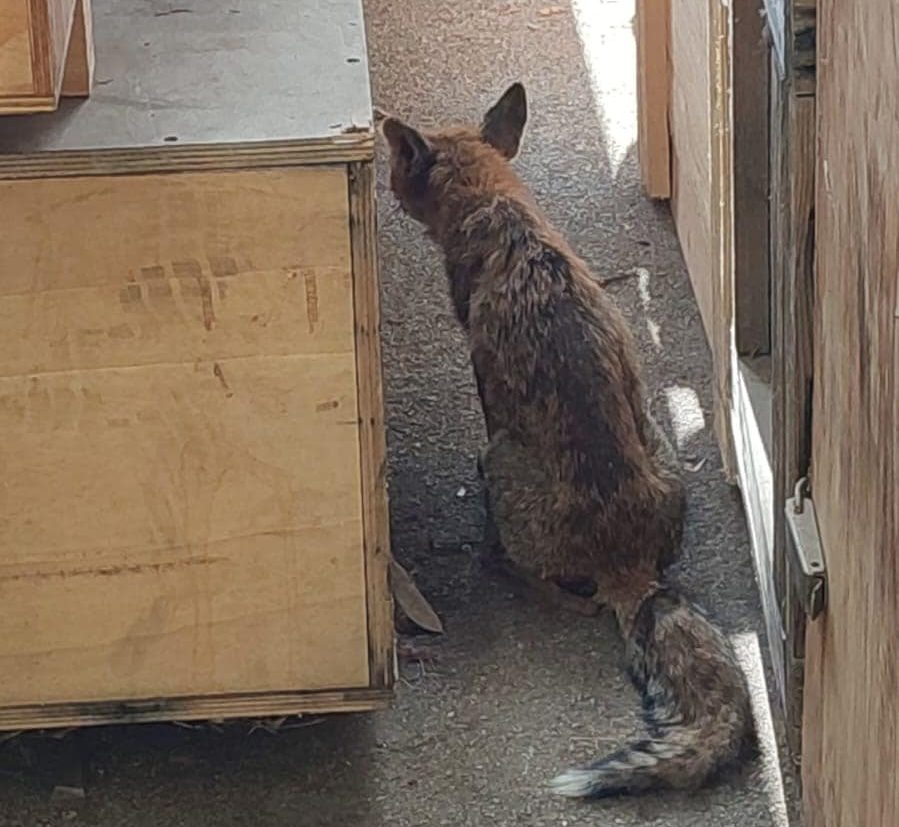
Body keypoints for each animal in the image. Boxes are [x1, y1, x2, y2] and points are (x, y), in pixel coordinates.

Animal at [379, 82, 755, 798]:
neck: (501, 214)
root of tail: (627, 568)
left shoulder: (488, 393)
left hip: (501, 463)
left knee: (557, 592)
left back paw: (502, 566)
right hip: (660, 443)